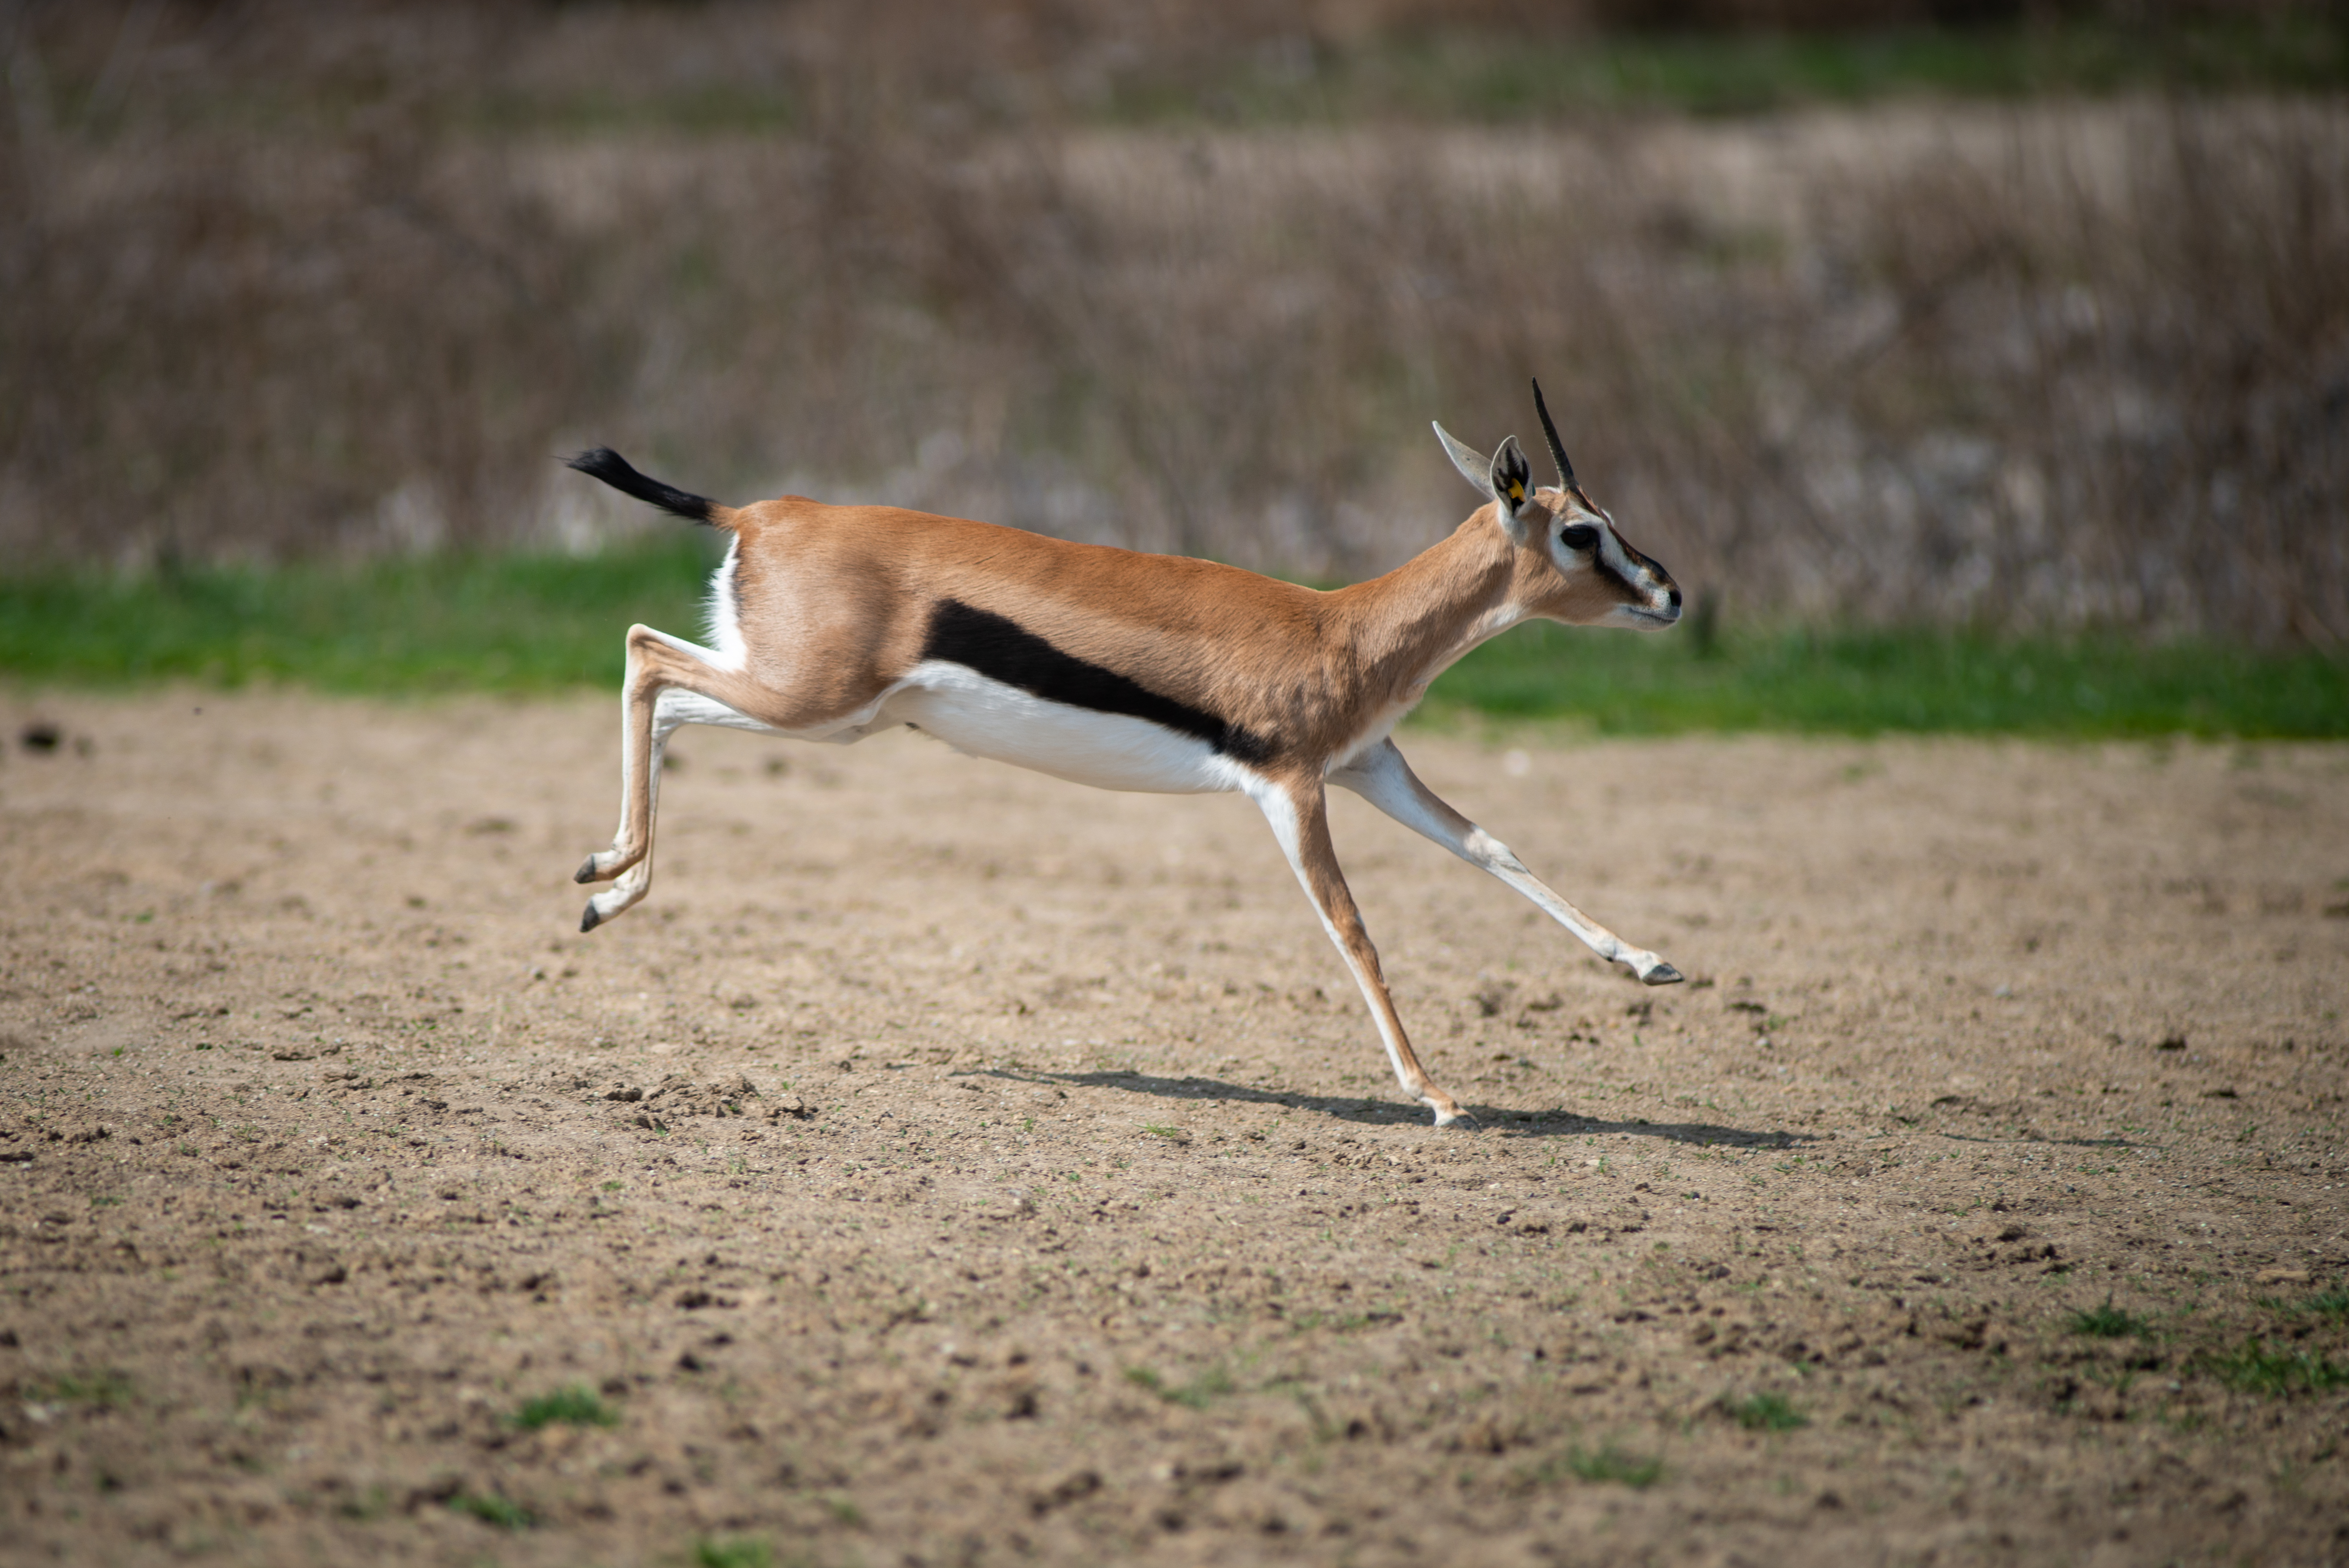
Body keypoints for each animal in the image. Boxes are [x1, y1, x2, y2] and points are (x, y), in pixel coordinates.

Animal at [568, 383, 1683, 1126]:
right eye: (1582, 533)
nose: (1671, 593)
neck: (1342, 628)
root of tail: (760, 513)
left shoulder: (1370, 767)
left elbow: (1496, 846)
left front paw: (1649, 962)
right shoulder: (1292, 788)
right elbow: (1354, 930)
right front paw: (1438, 1094)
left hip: (819, 709)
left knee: (659, 682)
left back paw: (605, 886)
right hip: (812, 703)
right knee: (643, 656)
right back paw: (605, 877)